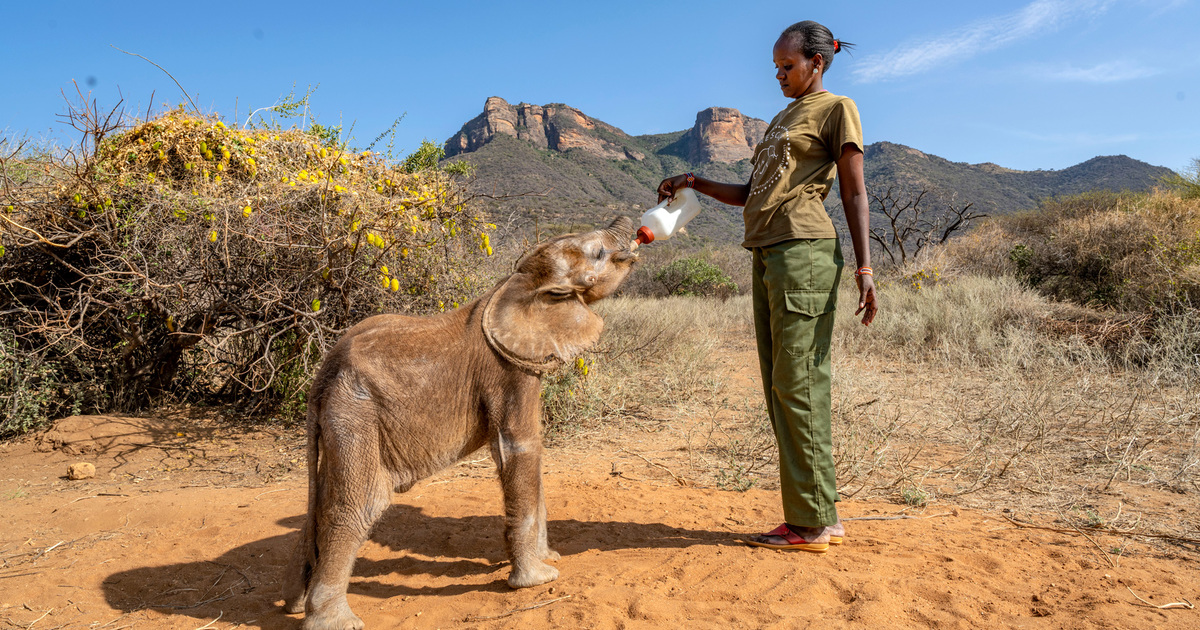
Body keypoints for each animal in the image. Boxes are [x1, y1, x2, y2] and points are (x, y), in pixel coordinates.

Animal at [282, 217, 638, 629]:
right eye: (597, 253)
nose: (640, 232)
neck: (516, 282)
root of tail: (324, 372)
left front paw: (550, 561)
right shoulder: (507, 369)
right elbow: (522, 447)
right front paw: (539, 579)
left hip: (339, 418)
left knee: (324, 497)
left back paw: (296, 604)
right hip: (356, 413)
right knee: (358, 505)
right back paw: (338, 622)